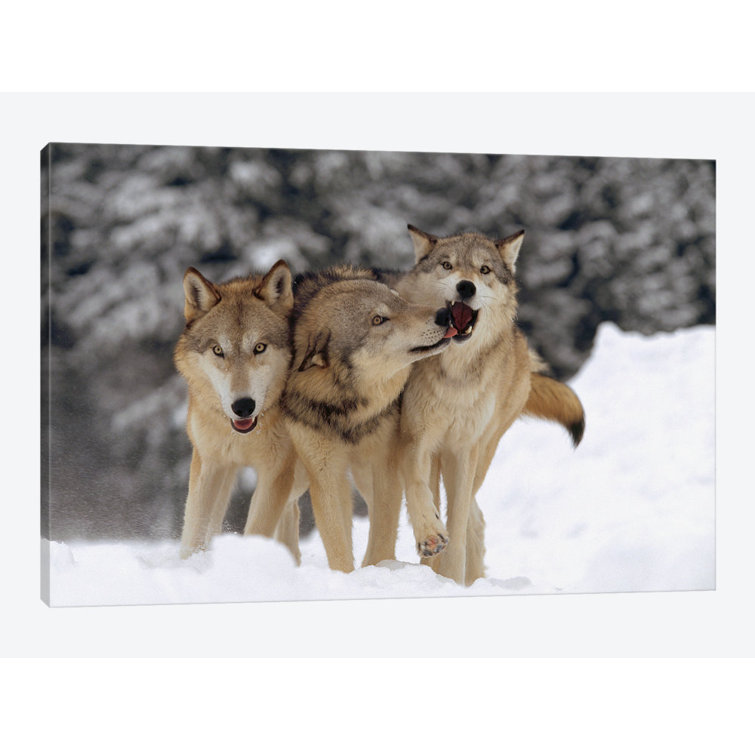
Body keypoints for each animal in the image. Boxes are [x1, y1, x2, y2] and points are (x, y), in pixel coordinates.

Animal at [174, 261, 308, 561]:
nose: (243, 406)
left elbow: (257, 529)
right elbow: (194, 529)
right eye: (217, 350)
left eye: (259, 347)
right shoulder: (209, 462)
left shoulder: (276, 472)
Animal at [280, 266, 454, 573]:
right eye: (378, 320)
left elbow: (384, 531)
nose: (445, 314)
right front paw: (346, 576)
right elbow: (337, 543)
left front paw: (379, 568)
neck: (350, 410)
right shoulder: (325, 474)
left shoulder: (383, 463)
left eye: (400, 301)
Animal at [392, 226, 585, 585]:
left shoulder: (463, 448)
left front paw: (451, 579)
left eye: (484, 270)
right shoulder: (416, 438)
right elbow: (418, 489)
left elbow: (456, 524)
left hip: (483, 451)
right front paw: (430, 539)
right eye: (447, 265)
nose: (466, 286)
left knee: (472, 514)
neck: (455, 375)